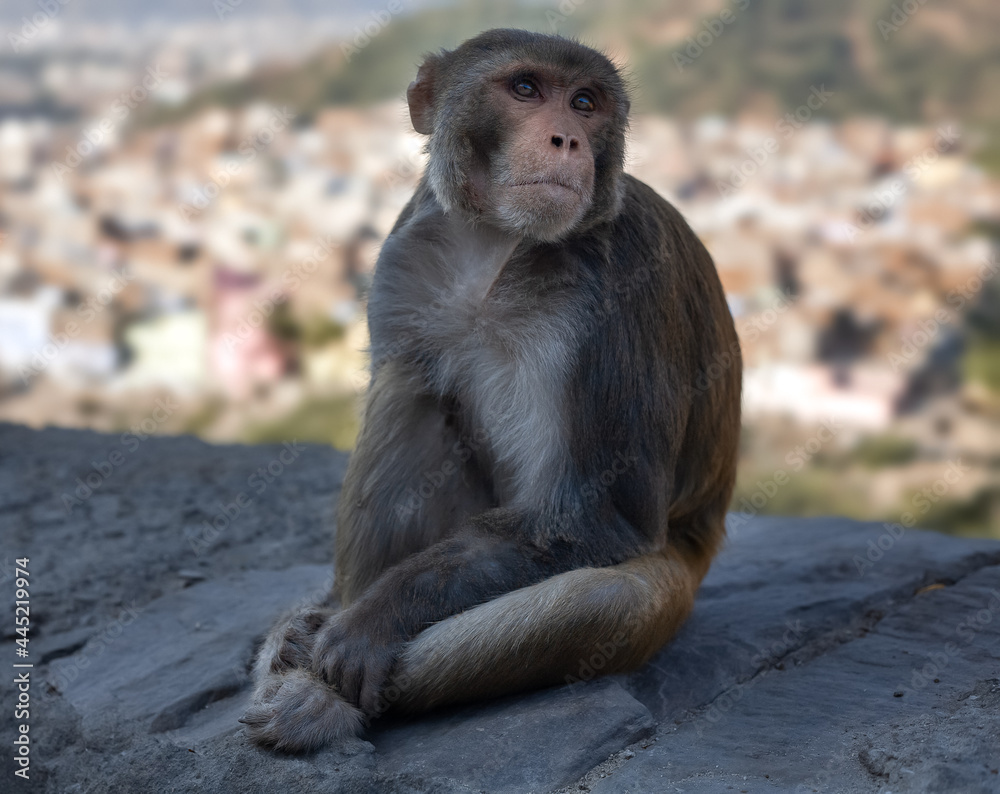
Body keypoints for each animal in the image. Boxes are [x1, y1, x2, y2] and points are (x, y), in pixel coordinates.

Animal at [240, 28, 741, 752]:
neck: (500, 245)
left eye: (585, 102)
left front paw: (372, 620)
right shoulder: (403, 256)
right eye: (526, 88)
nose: (567, 139)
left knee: (601, 602)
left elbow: (601, 517)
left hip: (675, 577)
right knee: (410, 384)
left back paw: (323, 696)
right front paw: (329, 613)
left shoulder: (625, 276)